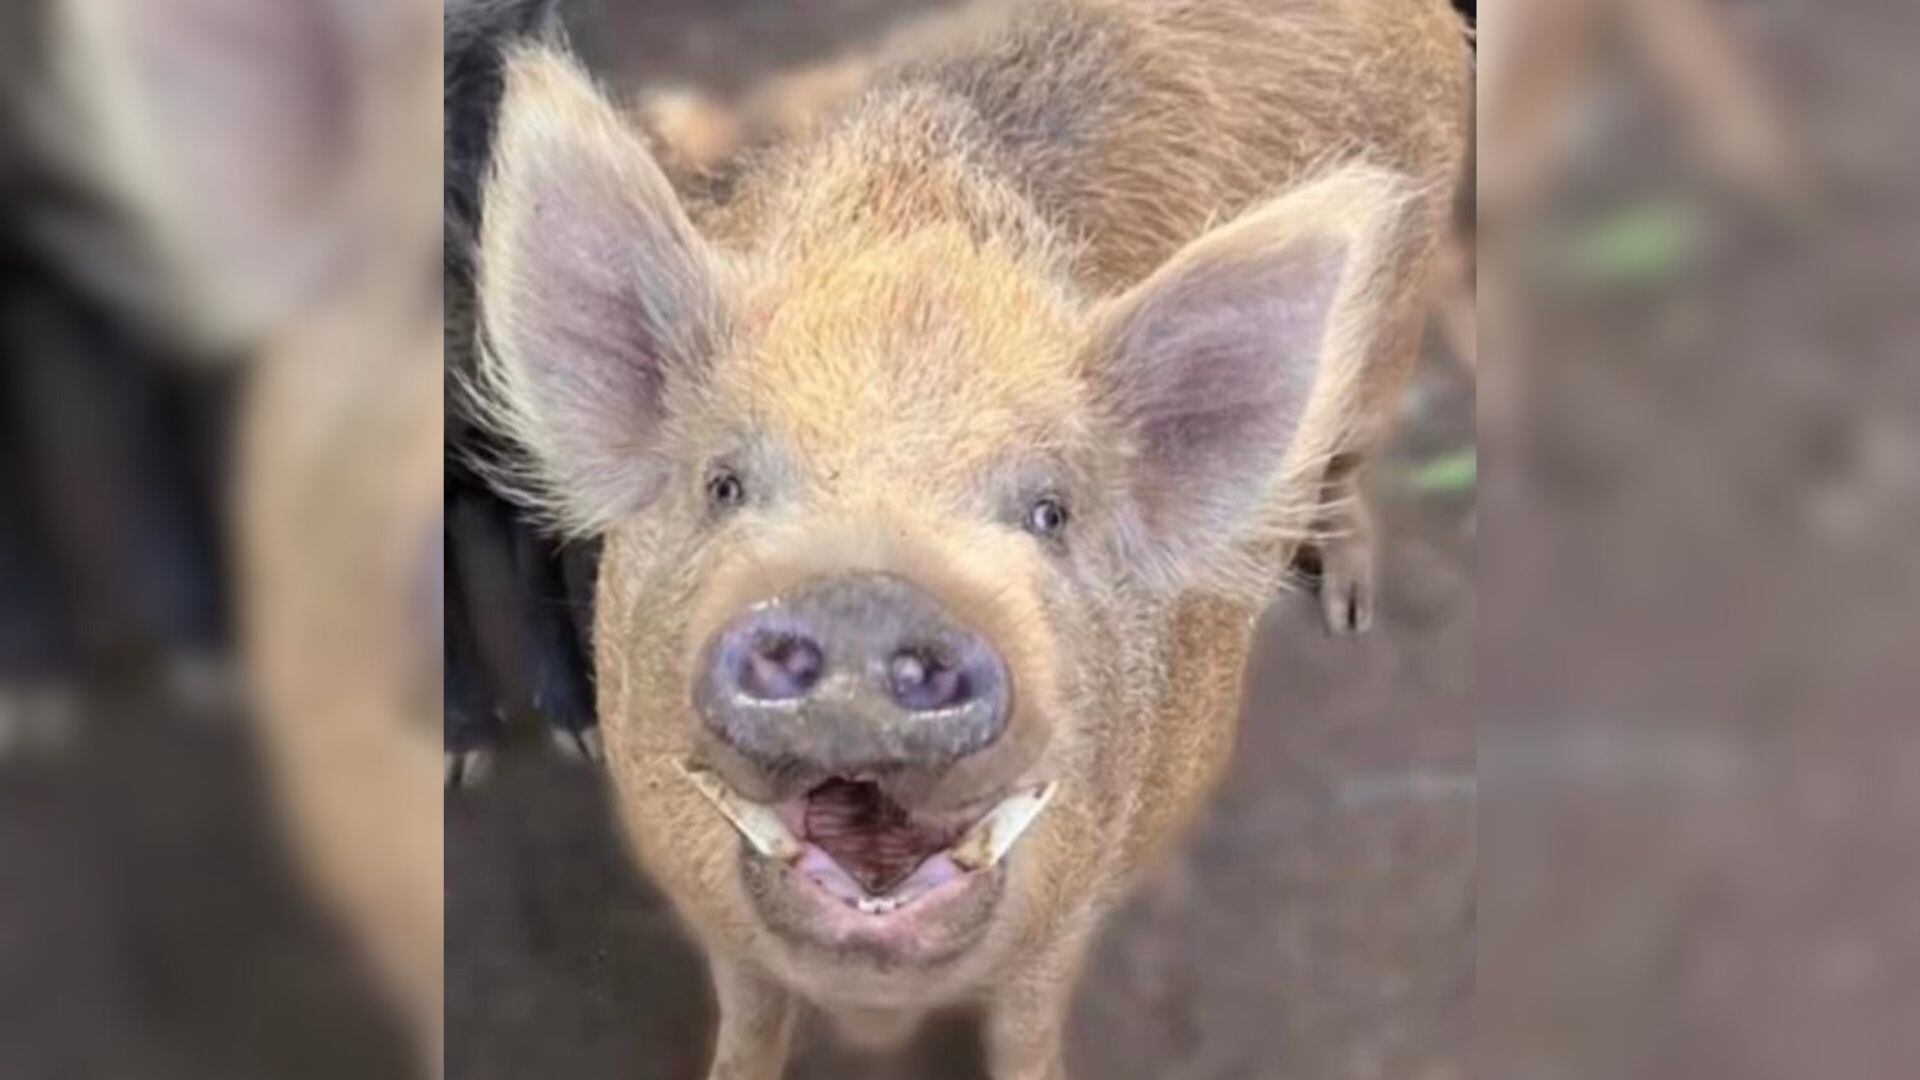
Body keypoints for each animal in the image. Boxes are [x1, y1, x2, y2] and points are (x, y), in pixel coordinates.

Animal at [474, 0, 1470, 1076]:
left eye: (1050, 512)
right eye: (724, 483)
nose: (865, 593)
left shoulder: (1079, 900)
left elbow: (1028, 1023)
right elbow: (747, 1012)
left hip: (1390, 342)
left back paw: (1350, 610)